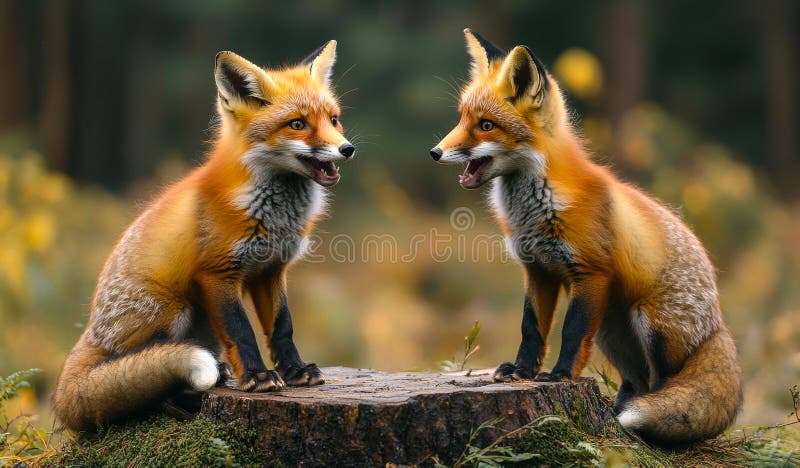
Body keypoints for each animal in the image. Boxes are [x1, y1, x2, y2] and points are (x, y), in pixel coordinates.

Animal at [52, 41, 355, 431]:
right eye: (298, 124)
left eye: (333, 119)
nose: (347, 149)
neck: (273, 214)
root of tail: (88, 332)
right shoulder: (217, 273)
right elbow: (242, 332)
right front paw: (258, 378)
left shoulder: (271, 269)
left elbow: (282, 327)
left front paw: (295, 371)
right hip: (173, 309)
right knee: (146, 372)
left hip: (203, 320)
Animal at [430, 29, 742, 445]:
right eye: (462, 118)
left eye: (485, 125)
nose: (435, 152)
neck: (537, 208)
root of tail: (718, 322)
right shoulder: (538, 270)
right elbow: (531, 328)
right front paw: (522, 372)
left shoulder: (589, 273)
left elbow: (571, 333)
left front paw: (560, 376)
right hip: (611, 328)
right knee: (637, 382)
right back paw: (620, 411)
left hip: (651, 326)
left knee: (665, 384)